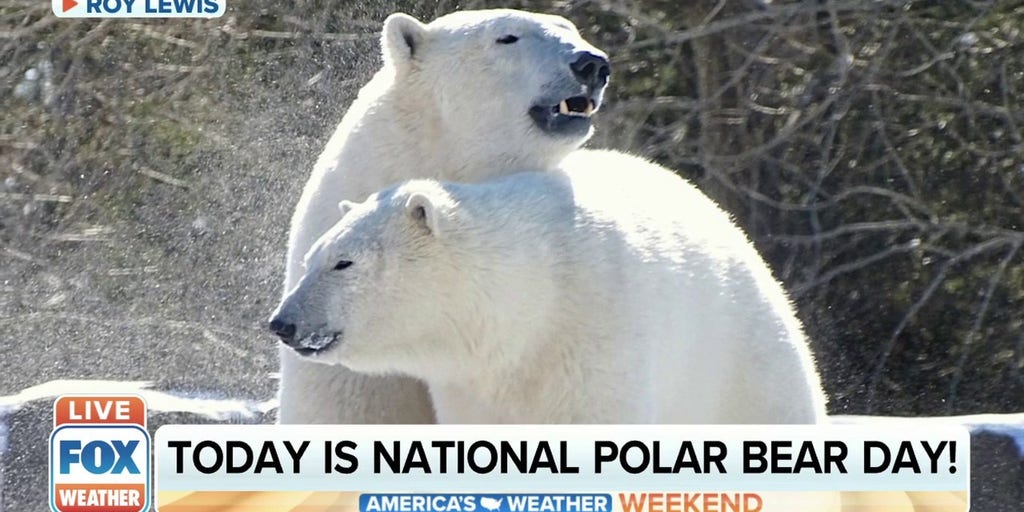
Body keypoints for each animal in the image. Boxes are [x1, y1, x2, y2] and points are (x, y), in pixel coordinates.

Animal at [269, 150, 829, 424]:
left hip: (739, 362)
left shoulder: (597, 334)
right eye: (310, 258)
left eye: (343, 262)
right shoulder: (471, 384)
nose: (283, 323)